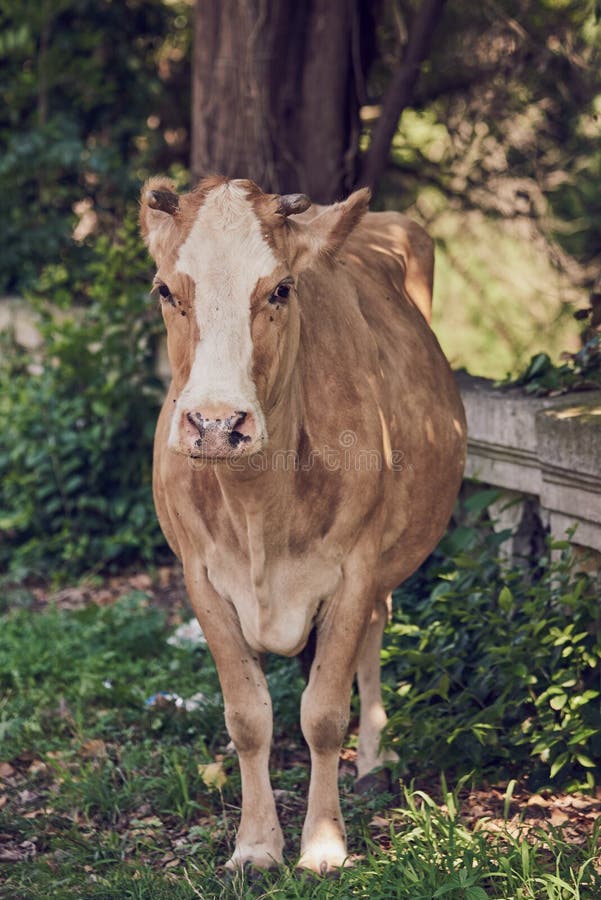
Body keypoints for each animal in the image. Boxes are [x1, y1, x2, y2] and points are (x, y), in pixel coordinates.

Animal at [139, 175, 466, 875]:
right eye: (165, 290)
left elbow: (321, 714)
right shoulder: (201, 578)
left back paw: (373, 759)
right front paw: (256, 844)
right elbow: (248, 717)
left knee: (373, 633)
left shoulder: (355, 567)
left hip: (382, 564)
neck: (258, 503)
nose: (215, 424)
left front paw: (323, 844)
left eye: (282, 289)